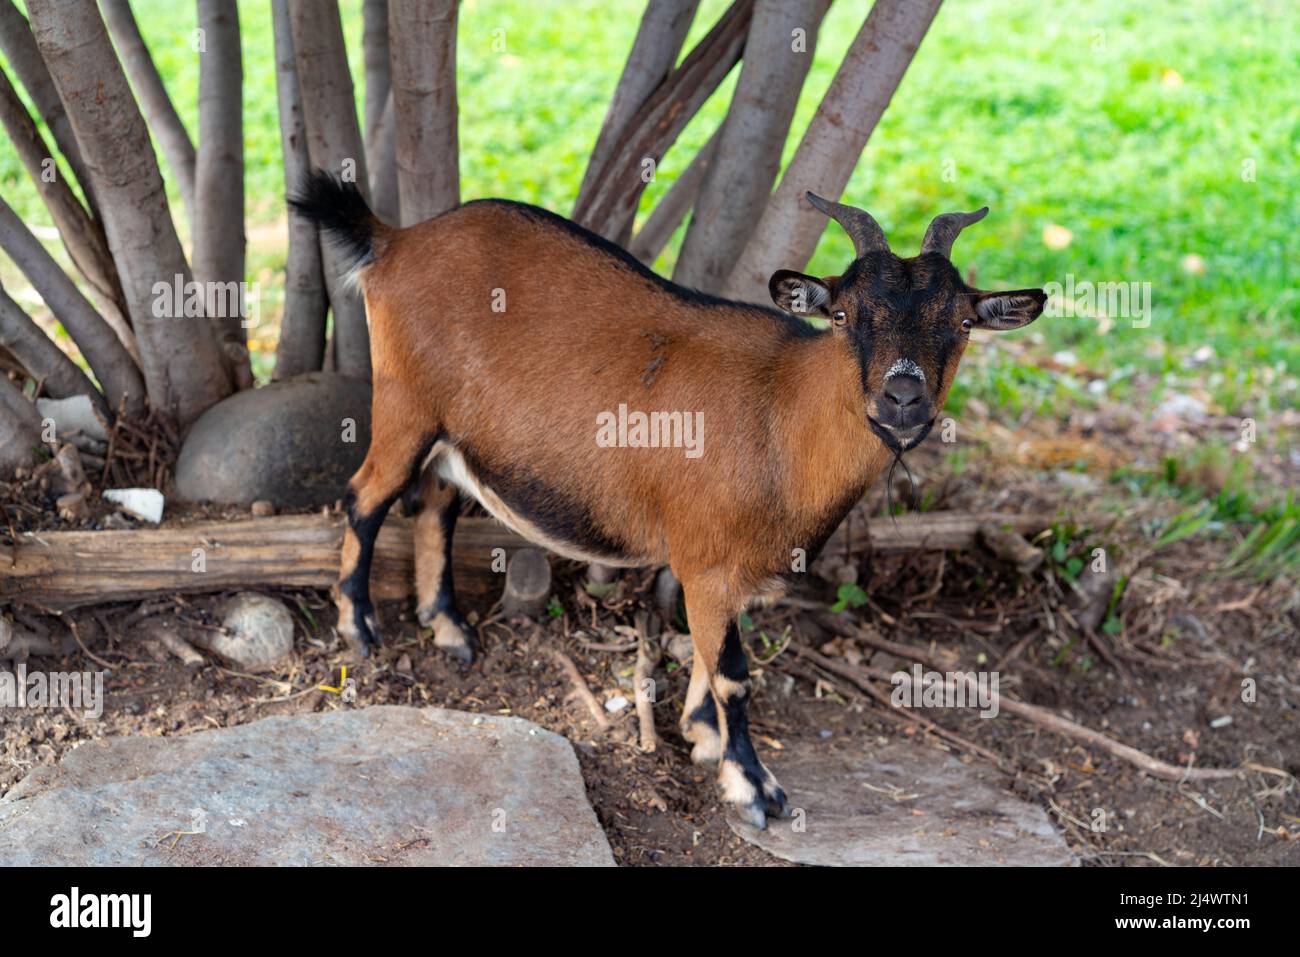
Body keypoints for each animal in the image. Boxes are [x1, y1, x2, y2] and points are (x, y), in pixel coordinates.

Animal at [290, 173, 1047, 828]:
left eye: (963, 323)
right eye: (843, 313)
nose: (903, 398)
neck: (779, 414)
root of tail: (396, 239)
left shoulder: (727, 569)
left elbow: (708, 655)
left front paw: (701, 735)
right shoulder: (705, 562)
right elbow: (734, 670)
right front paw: (753, 787)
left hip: (454, 436)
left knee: (435, 506)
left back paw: (448, 627)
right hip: (405, 406)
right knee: (365, 498)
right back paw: (360, 628)